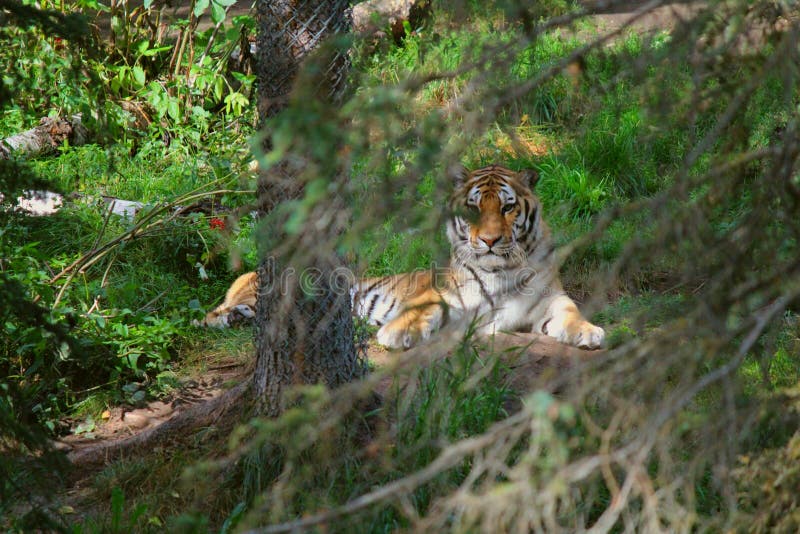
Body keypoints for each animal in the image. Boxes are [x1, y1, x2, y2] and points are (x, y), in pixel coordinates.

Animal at [195, 164, 605, 350]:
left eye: (507, 207)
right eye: (473, 208)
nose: (489, 240)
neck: (499, 270)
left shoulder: (549, 299)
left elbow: (571, 312)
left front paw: (589, 332)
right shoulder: (444, 296)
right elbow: (421, 310)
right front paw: (397, 333)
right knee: (213, 313)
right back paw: (222, 319)